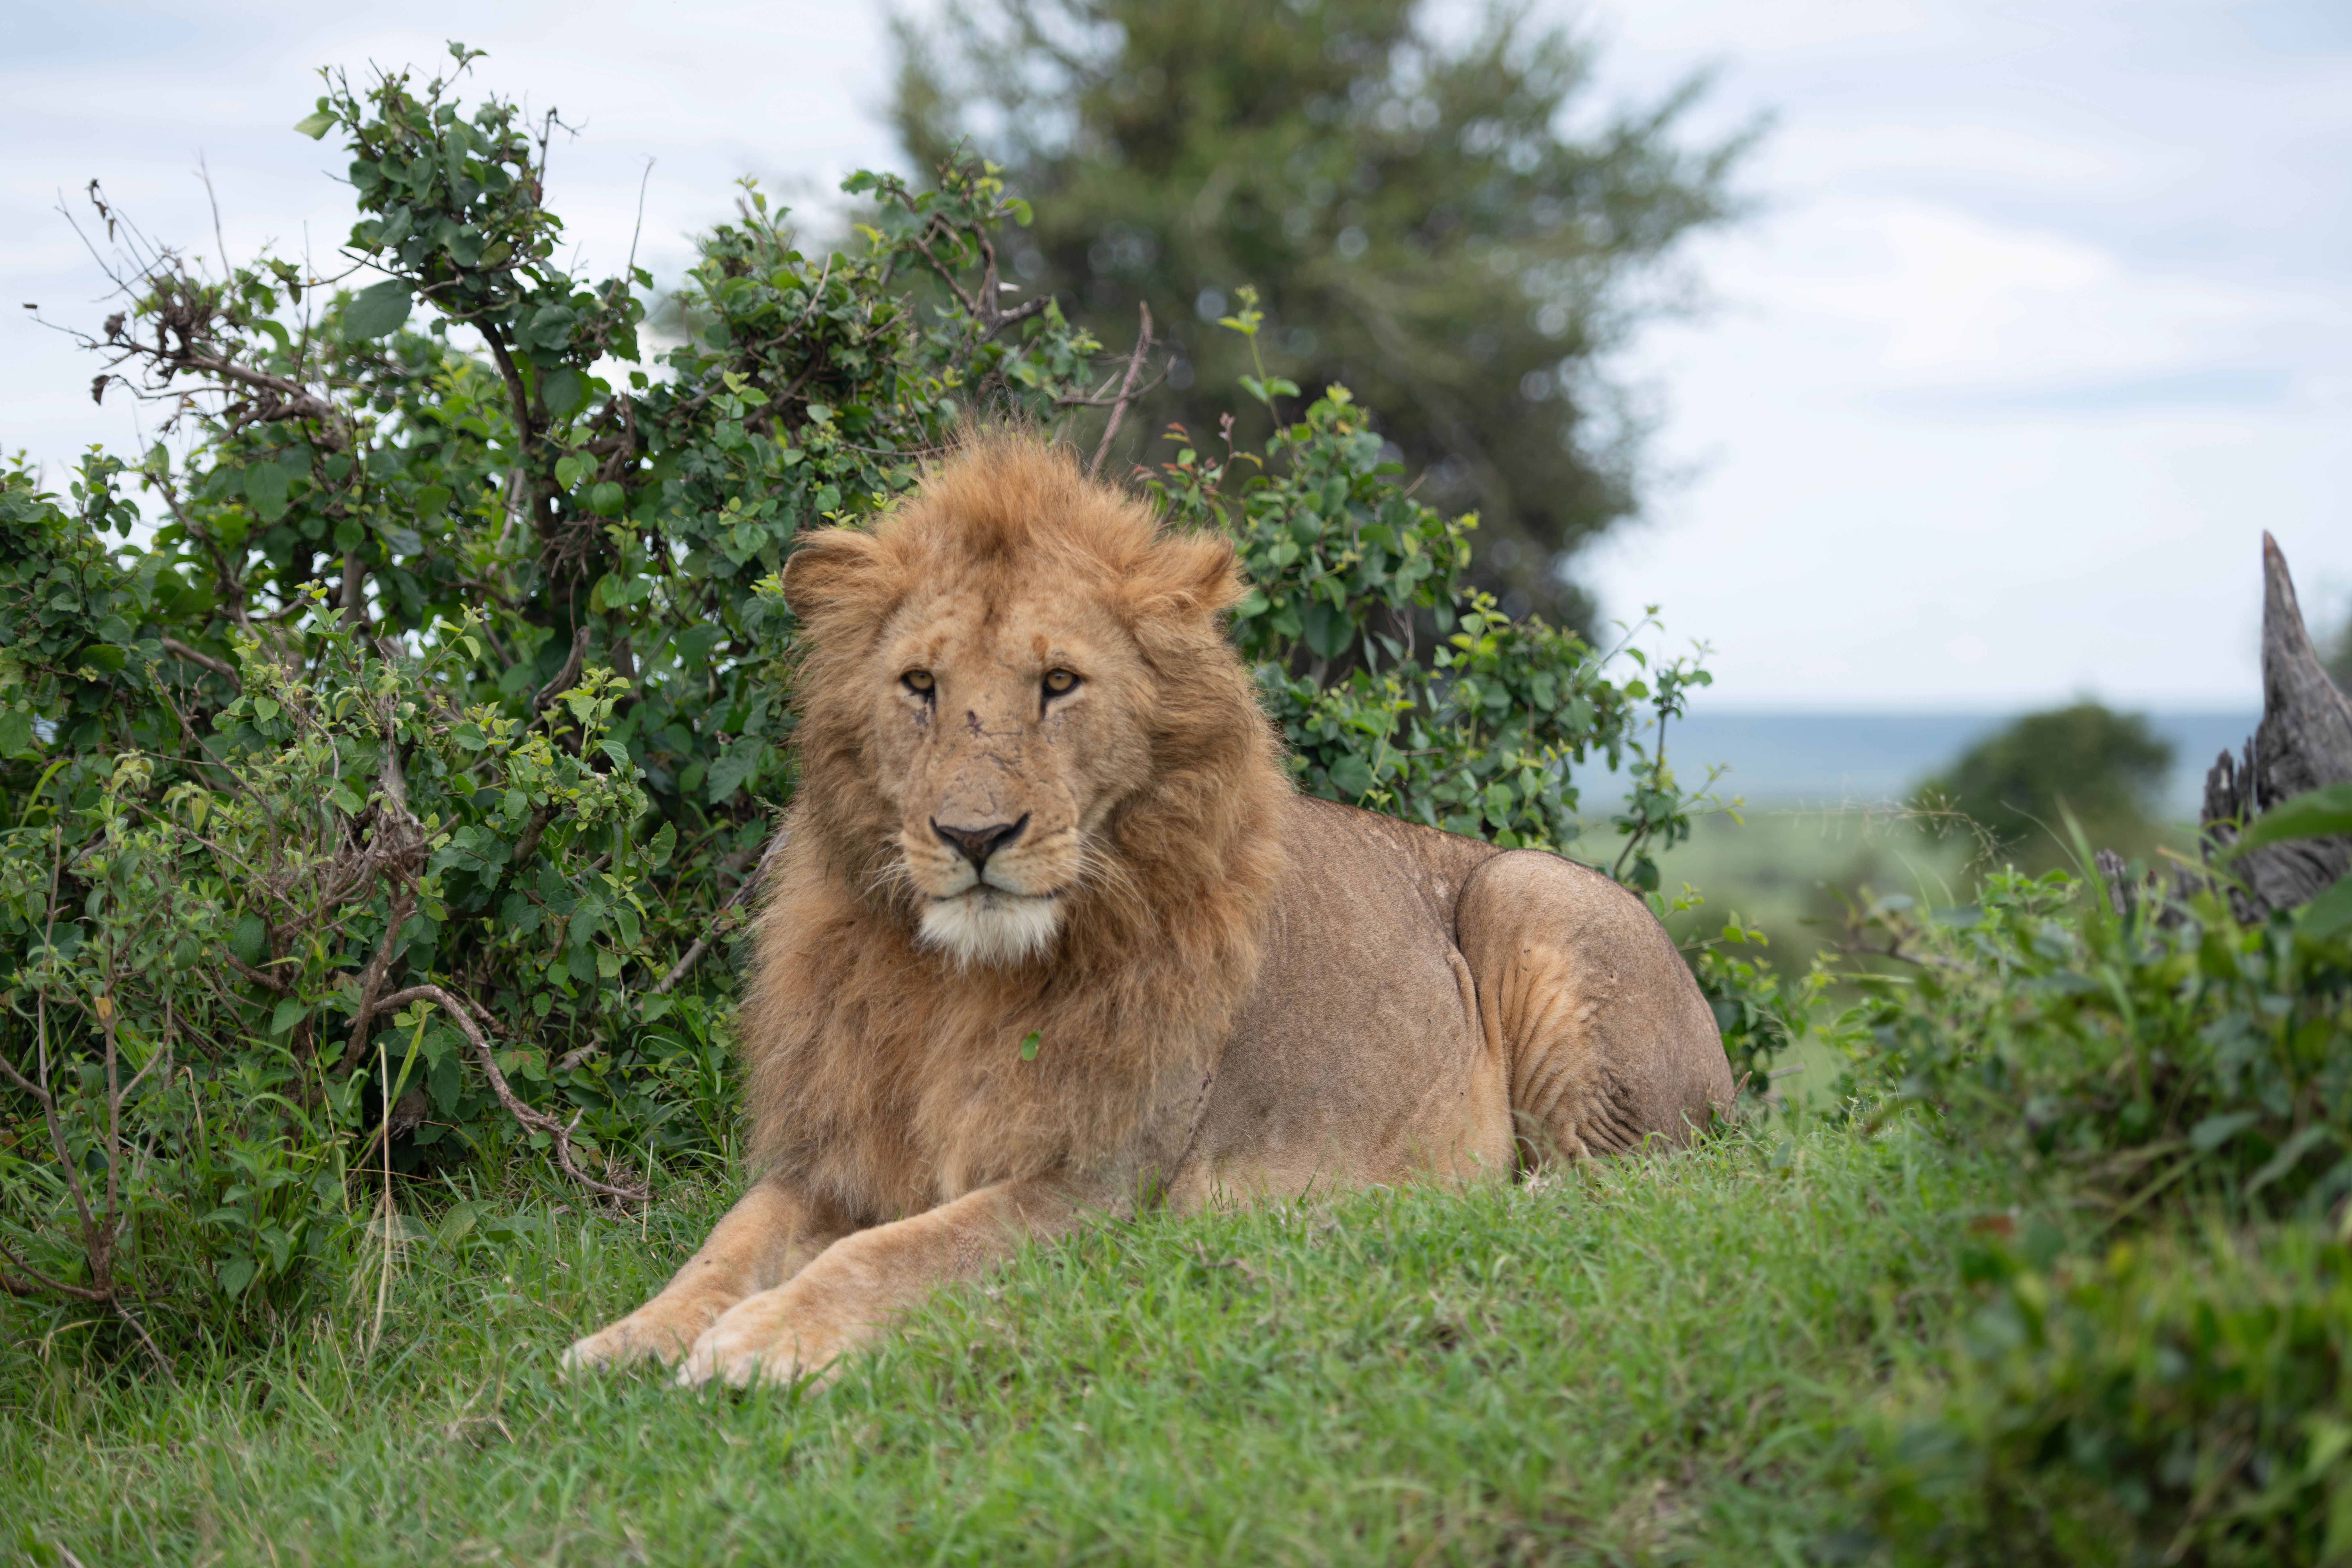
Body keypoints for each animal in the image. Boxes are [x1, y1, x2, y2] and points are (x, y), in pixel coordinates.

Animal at [565, 435, 1732, 1388]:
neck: (955, 980)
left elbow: (898, 1251)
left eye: (1058, 683)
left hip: (1527, 890)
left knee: (1629, 1182)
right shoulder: (836, 1152)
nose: (974, 837)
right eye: (919, 685)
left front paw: (763, 1341)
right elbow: (725, 1244)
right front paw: (621, 1342)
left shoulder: (1096, 1182)